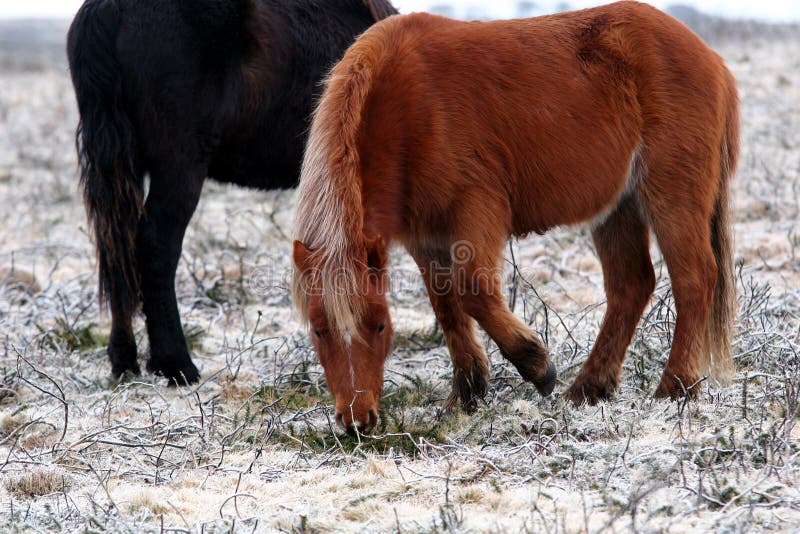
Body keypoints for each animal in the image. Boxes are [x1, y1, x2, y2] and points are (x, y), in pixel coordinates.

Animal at [67, 0, 397, 384]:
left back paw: (124, 360)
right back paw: (176, 363)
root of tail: (107, 10)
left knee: (117, 249)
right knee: (154, 249)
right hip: (179, 168)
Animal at [292, 1, 739, 433]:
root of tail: (713, 59)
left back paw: (675, 387)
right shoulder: (425, 237)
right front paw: (466, 395)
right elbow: (447, 306)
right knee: (632, 285)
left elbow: (473, 289)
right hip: (618, 209)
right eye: (318, 330)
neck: (408, 106)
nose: (356, 421)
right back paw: (589, 388)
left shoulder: (477, 210)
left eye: (381, 326)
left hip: (672, 197)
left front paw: (536, 366)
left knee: (695, 278)